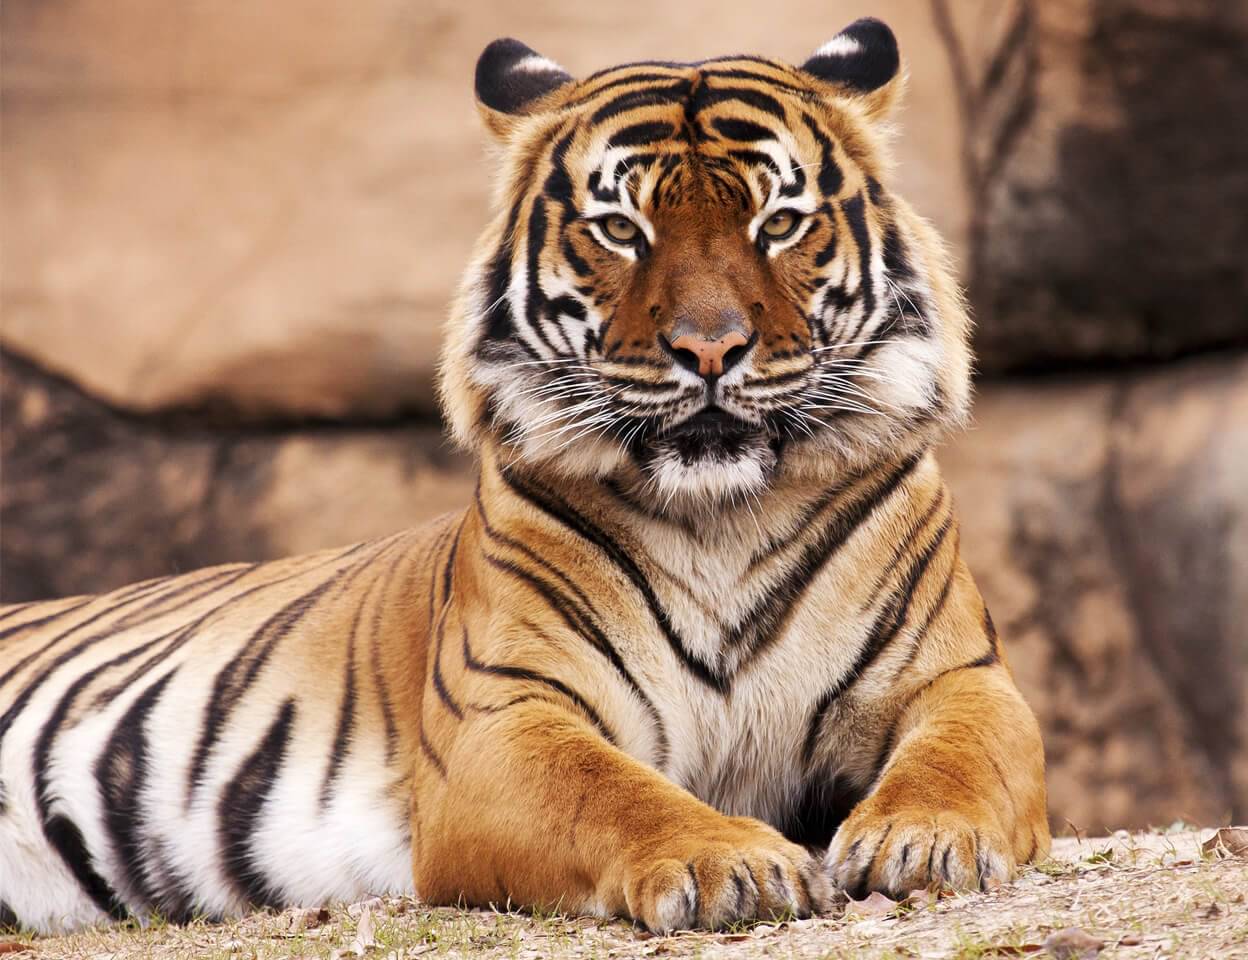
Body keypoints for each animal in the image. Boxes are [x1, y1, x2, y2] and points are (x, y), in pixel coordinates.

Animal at [0, 17, 1049, 935]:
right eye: (620, 228)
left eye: (781, 222)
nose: (710, 350)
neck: (722, 516)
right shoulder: (504, 718)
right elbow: (613, 793)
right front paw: (730, 863)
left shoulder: (960, 676)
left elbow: (964, 757)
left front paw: (923, 840)